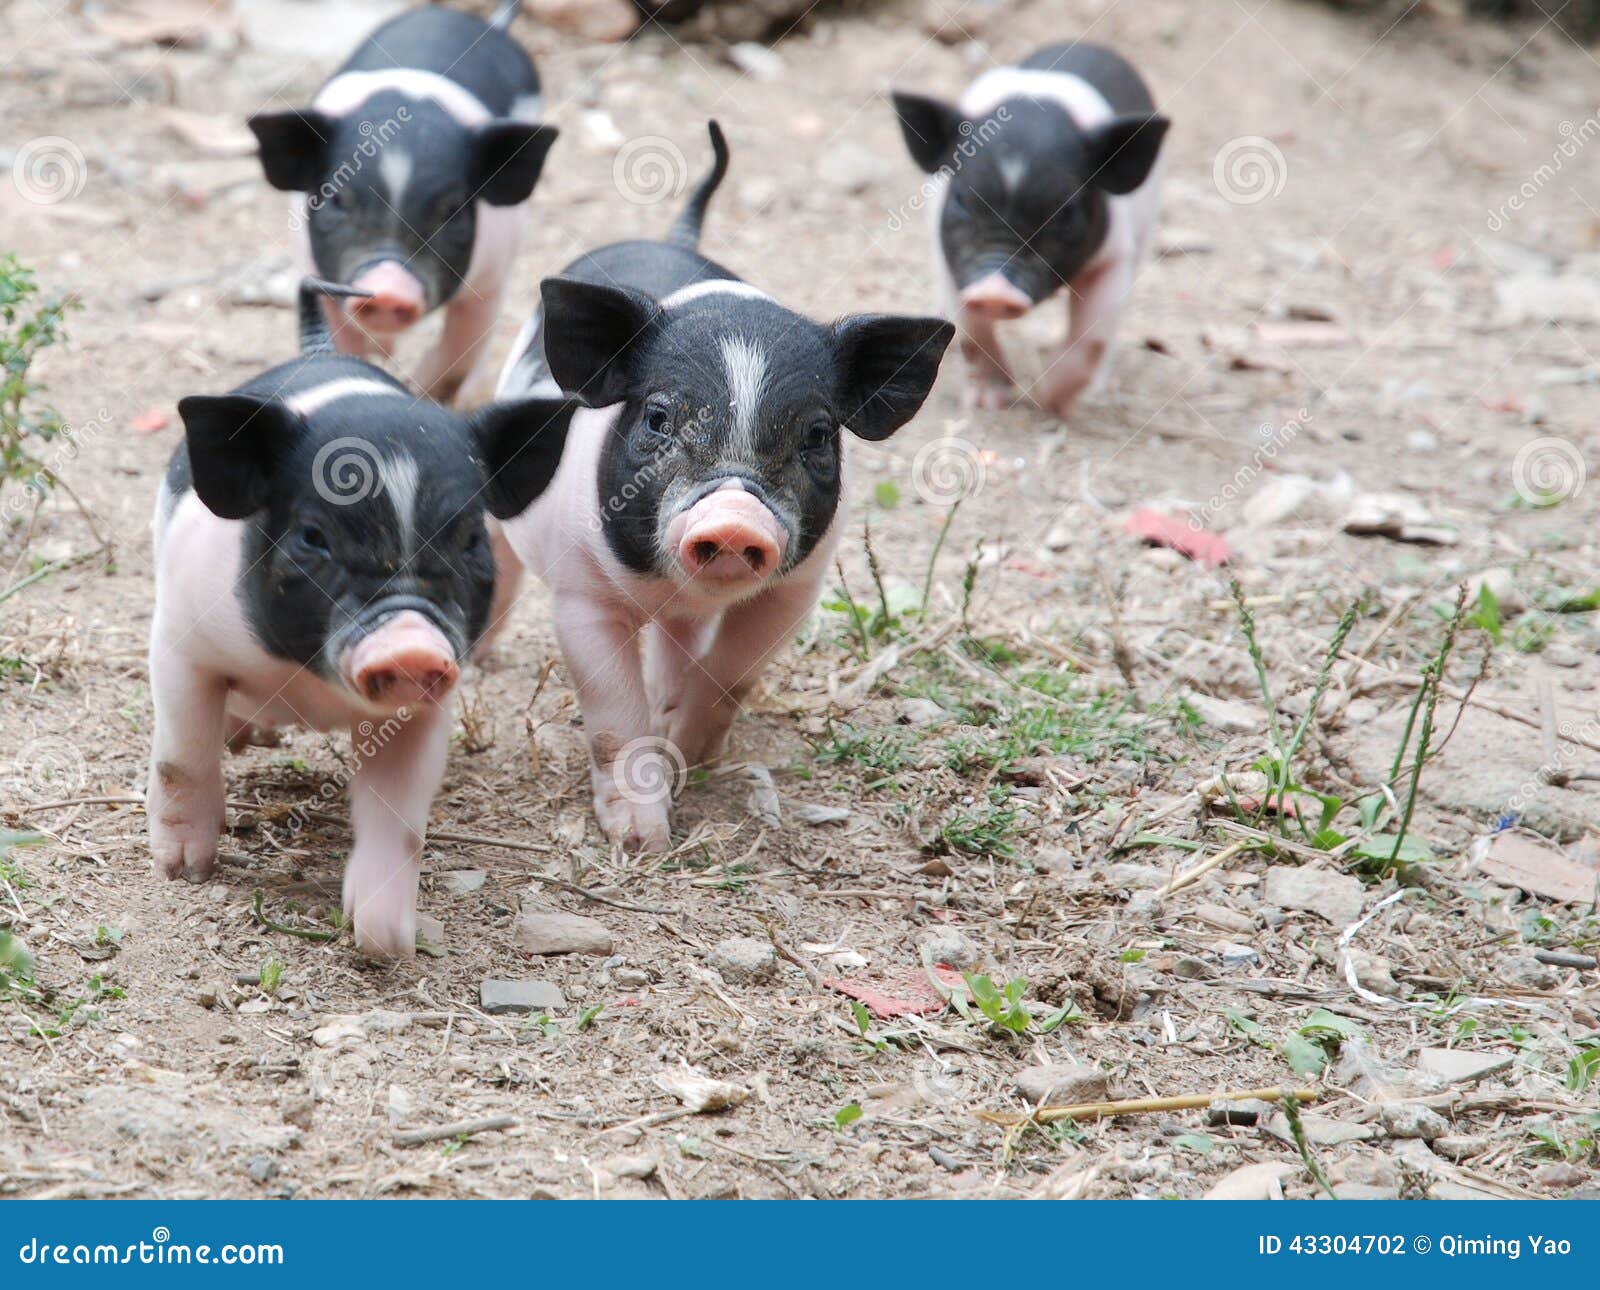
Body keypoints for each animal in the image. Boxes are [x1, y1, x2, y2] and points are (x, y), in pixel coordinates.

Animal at [148, 276, 580, 956]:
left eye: (471, 541)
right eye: (313, 537)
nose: (410, 643)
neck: (308, 686)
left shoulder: (419, 711)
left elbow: (397, 813)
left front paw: (384, 942)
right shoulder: (179, 643)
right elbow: (182, 756)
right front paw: (183, 872)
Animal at [247, 1, 556, 405]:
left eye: (452, 210)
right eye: (336, 200)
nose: (388, 286)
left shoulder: (492, 277)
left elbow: (462, 350)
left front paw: (425, 389)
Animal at [494, 123, 953, 851]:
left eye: (818, 433)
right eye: (658, 417)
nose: (735, 516)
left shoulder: (797, 587)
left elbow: (732, 671)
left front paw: (687, 752)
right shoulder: (580, 592)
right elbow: (613, 712)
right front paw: (642, 843)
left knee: (679, 640)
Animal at [891, 43, 1168, 419]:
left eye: (1064, 213)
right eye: (961, 200)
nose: (994, 292)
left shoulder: (1114, 255)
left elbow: (1092, 338)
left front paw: (1048, 403)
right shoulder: (950, 257)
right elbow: (971, 331)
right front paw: (988, 404)